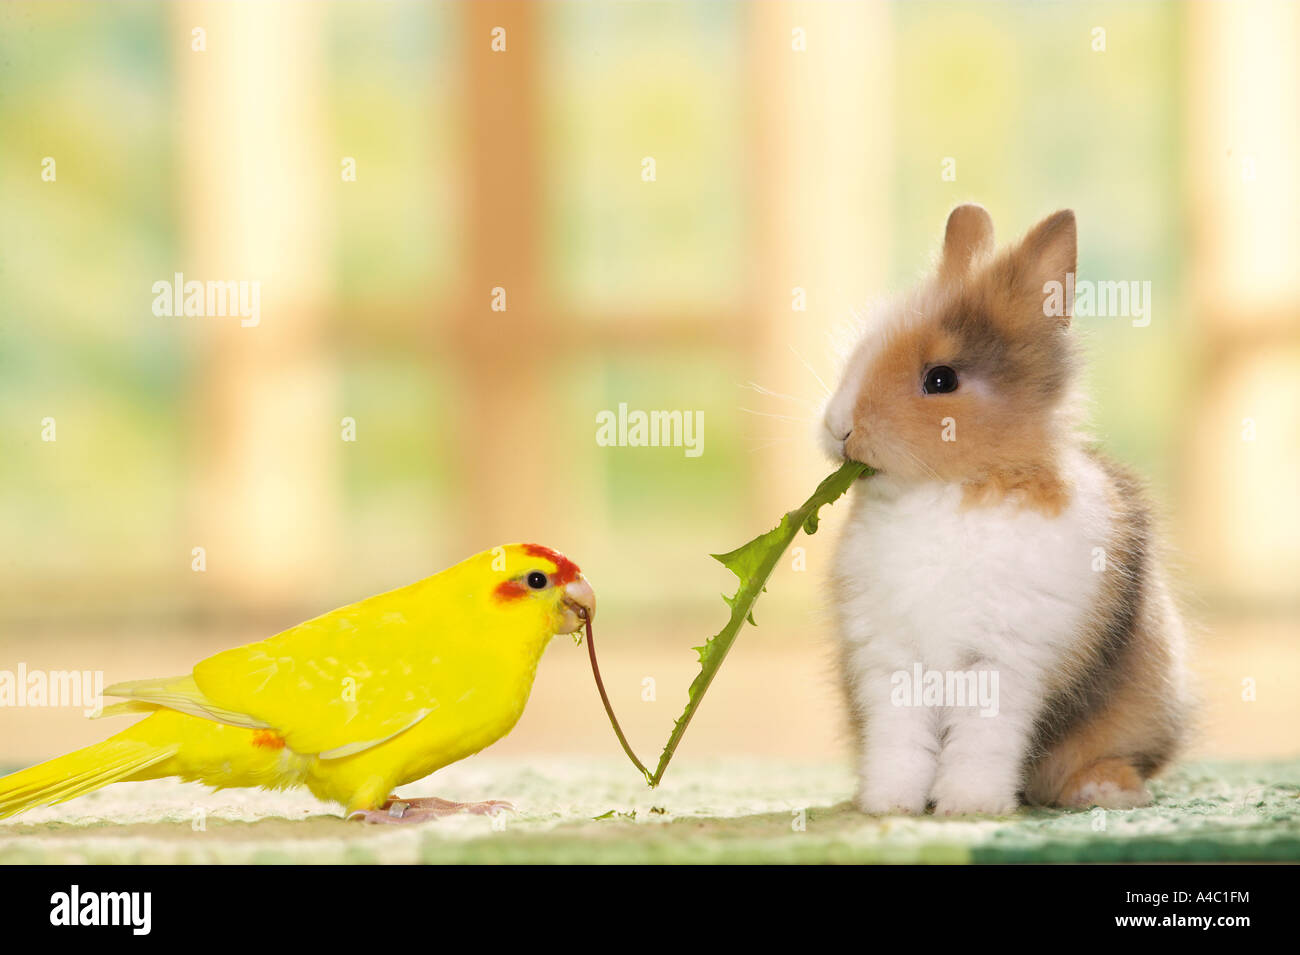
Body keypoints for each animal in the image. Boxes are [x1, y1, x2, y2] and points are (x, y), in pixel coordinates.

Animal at [821, 204, 1191, 814]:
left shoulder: (1002, 660)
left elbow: (982, 740)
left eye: (941, 379)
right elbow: (899, 742)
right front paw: (889, 804)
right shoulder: (891, 662)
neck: (941, 493)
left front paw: (968, 805)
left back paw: (1107, 791)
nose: (839, 427)